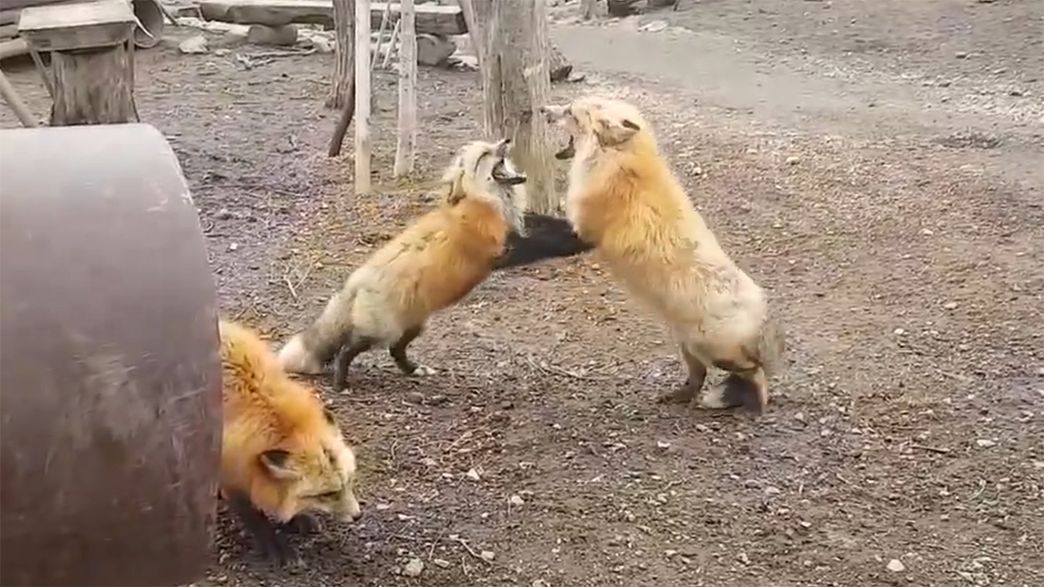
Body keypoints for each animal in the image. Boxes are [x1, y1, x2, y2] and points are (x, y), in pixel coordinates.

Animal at [218, 319, 362, 566]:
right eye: (326, 494)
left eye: (349, 481)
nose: (357, 515)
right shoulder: (231, 471)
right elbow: (253, 515)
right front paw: (273, 543)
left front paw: (298, 518)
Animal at [278, 138, 549, 390]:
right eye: (484, 155)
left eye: (492, 145)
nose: (506, 140)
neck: (486, 199)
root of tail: (355, 282)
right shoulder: (501, 250)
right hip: (379, 331)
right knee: (347, 350)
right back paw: (340, 383)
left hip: (413, 326)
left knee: (395, 350)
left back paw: (412, 370)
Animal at [539, 95, 785, 414]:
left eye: (570, 112)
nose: (542, 110)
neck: (616, 162)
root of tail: (762, 310)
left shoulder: (581, 231)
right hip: (687, 345)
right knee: (700, 376)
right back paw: (682, 396)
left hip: (715, 351)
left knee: (757, 374)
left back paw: (752, 403)